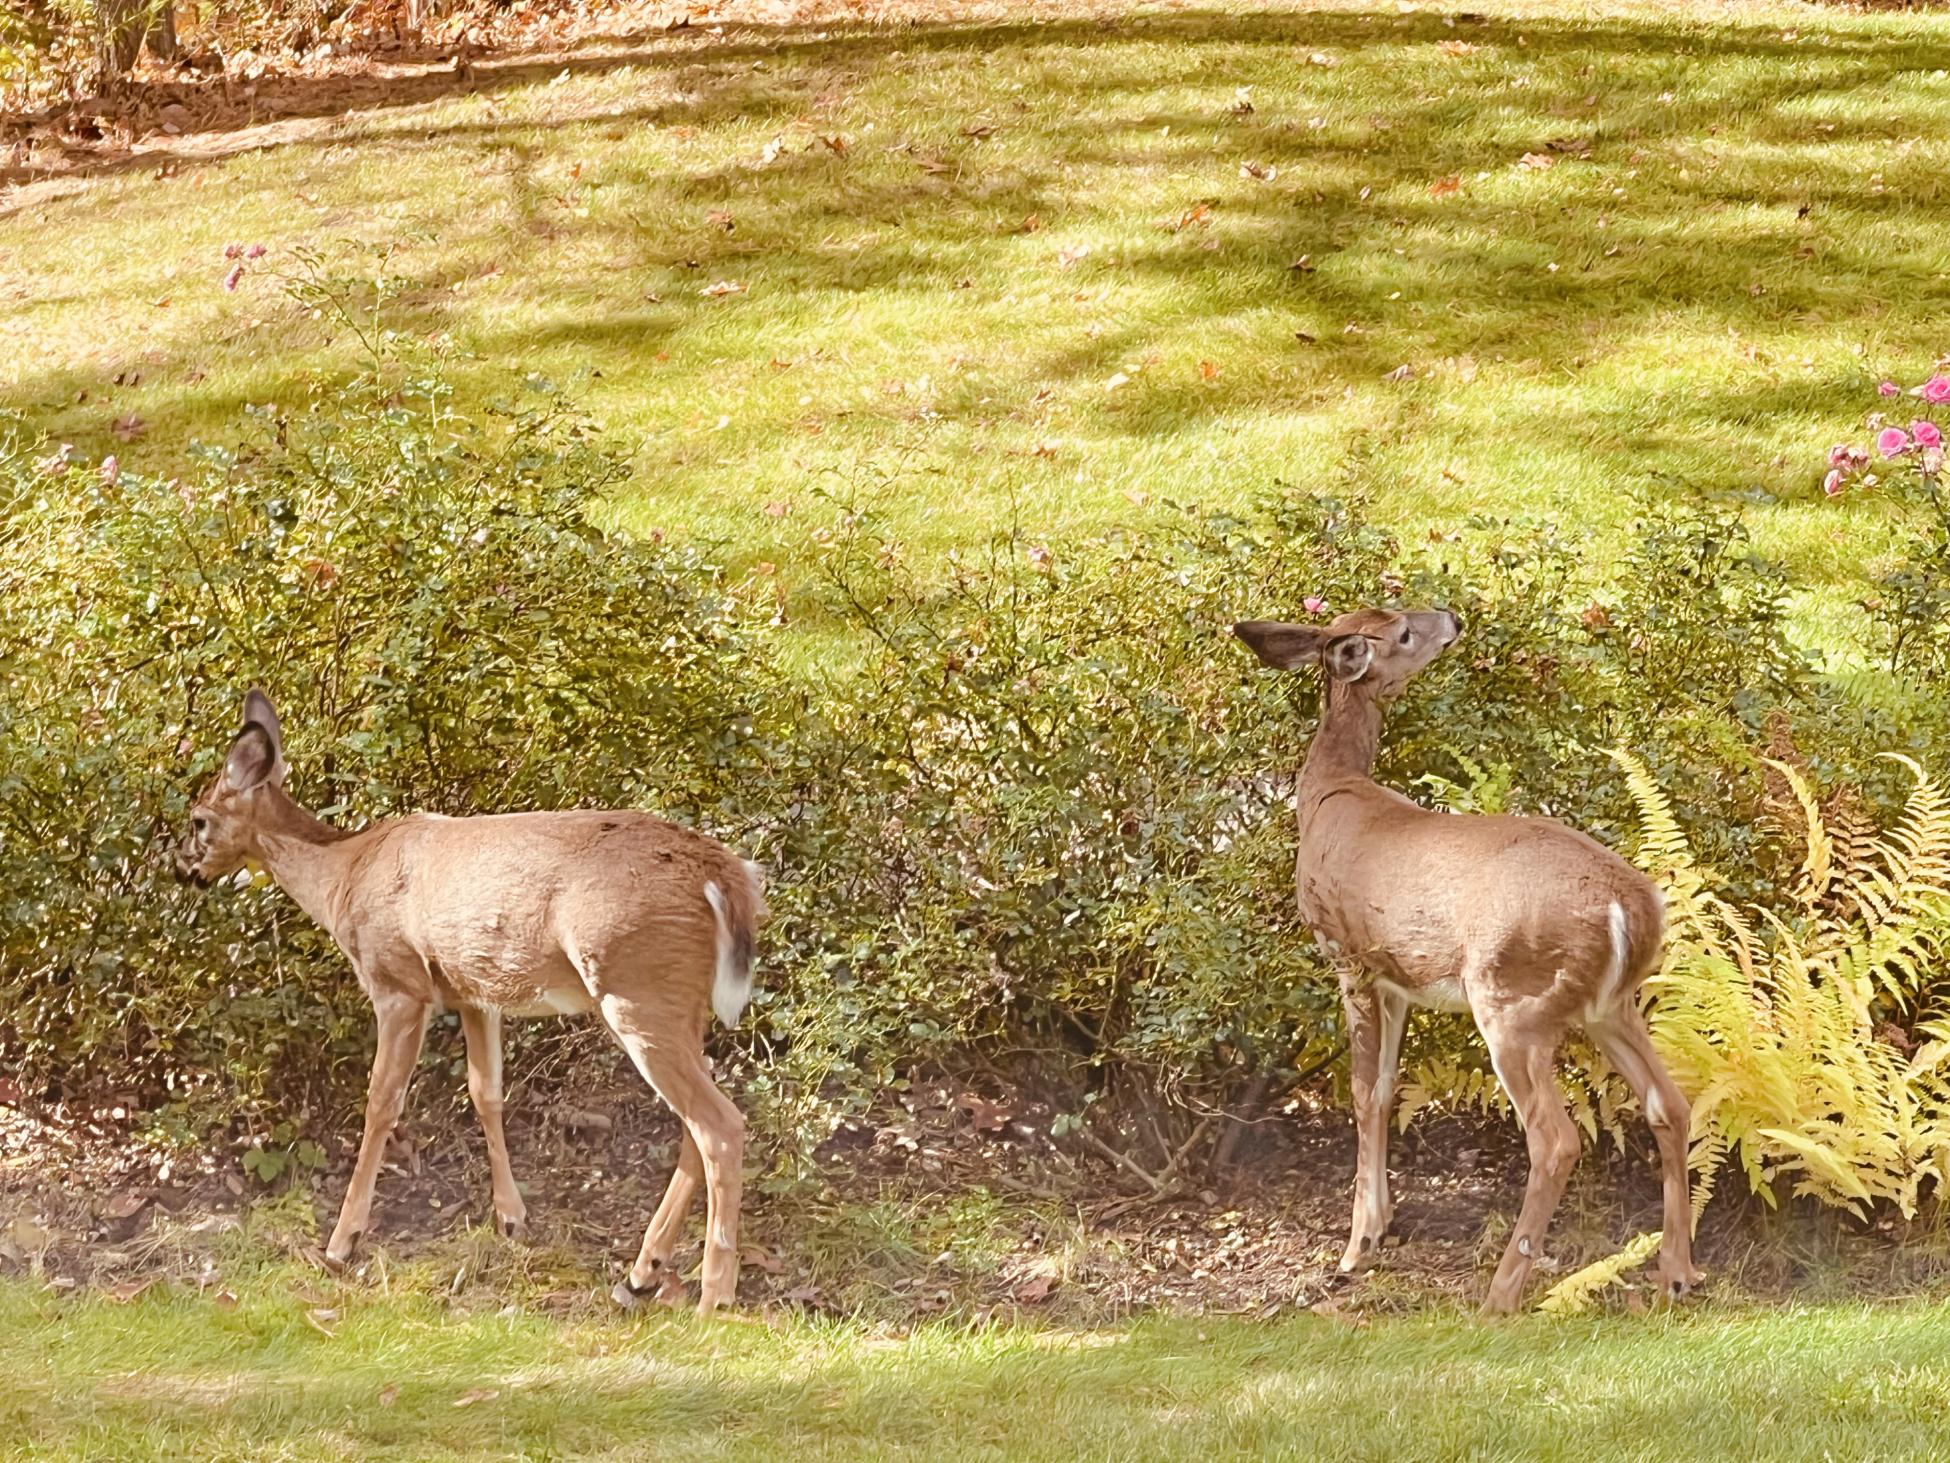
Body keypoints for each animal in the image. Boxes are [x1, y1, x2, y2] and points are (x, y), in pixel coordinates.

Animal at [173, 690, 766, 1315]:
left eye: (198, 819)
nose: (183, 867)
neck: (343, 874)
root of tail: (728, 877)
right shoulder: (476, 993)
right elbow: (486, 1092)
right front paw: (511, 1219)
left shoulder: (399, 983)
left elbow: (381, 1102)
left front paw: (341, 1240)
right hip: (677, 1000)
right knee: (695, 1124)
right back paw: (640, 1274)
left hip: (636, 989)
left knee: (720, 1125)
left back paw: (713, 1296)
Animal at [1233, 607, 1702, 1313]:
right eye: (1400, 628)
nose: (1452, 617)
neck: (1330, 793)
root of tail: (1633, 906)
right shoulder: (1397, 980)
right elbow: (1387, 1087)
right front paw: (1382, 1222)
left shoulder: (1349, 955)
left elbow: (1362, 1091)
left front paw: (1357, 1246)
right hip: (1610, 1006)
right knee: (1668, 1104)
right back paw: (1674, 1270)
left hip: (1511, 999)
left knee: (1556, 1139)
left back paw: (1500, 1296)